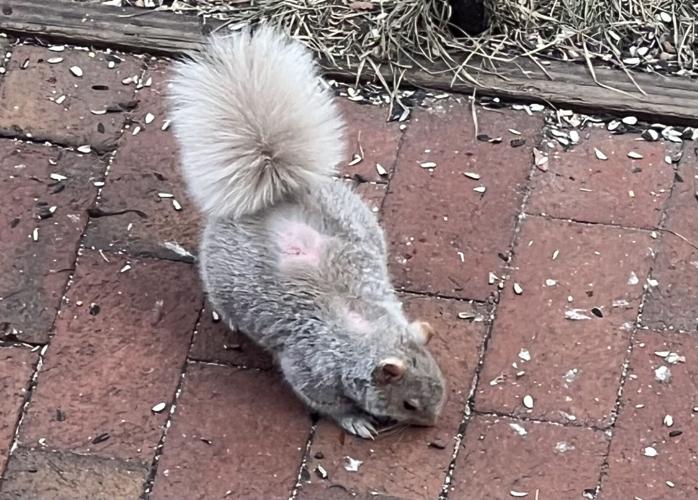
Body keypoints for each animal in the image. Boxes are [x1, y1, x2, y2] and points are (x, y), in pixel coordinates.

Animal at [167, 25, 446, 439]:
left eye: (438, 377)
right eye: (408, 404)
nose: (433, 422)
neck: (366, 327)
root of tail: (276, 197)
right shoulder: (311, 368)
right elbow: (325, 402)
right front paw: (356, 420)